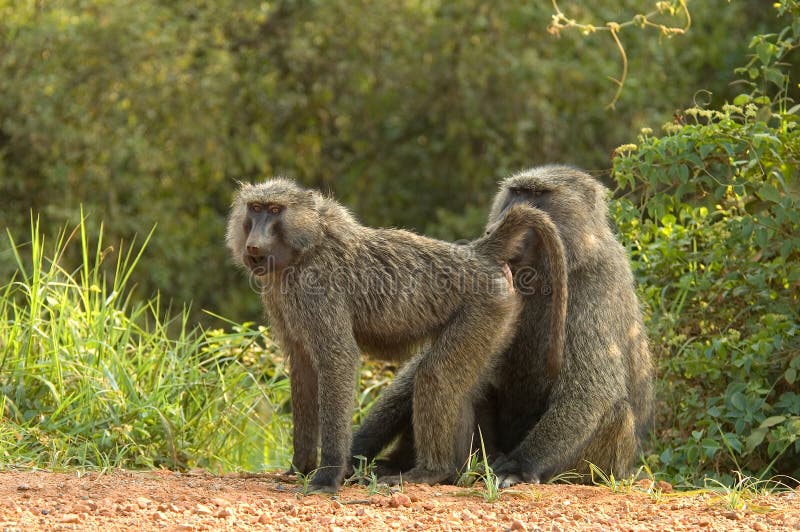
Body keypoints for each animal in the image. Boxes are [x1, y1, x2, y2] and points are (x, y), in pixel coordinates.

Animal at [226, 177, 556, 492]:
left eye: (275, 210)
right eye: (255, 209)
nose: (253, 245)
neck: (307, 249)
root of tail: (476, 253)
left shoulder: (316, 289)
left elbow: (338, 359)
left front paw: (327, 477)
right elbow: (303, 368)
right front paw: (300, 468)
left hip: (485, 308)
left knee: (436, 375)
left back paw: (431, 472)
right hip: (498, 320)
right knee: (459, 386)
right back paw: (452, 473)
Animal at [351, 165, 653, 487]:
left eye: (537, 194)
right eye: (516, 192)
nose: (496, 227)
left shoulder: (596, 284)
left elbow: (591, 388)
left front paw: (517, 467)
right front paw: (359, 446)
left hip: (599, 467)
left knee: (617, 412)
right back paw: (396, 464)